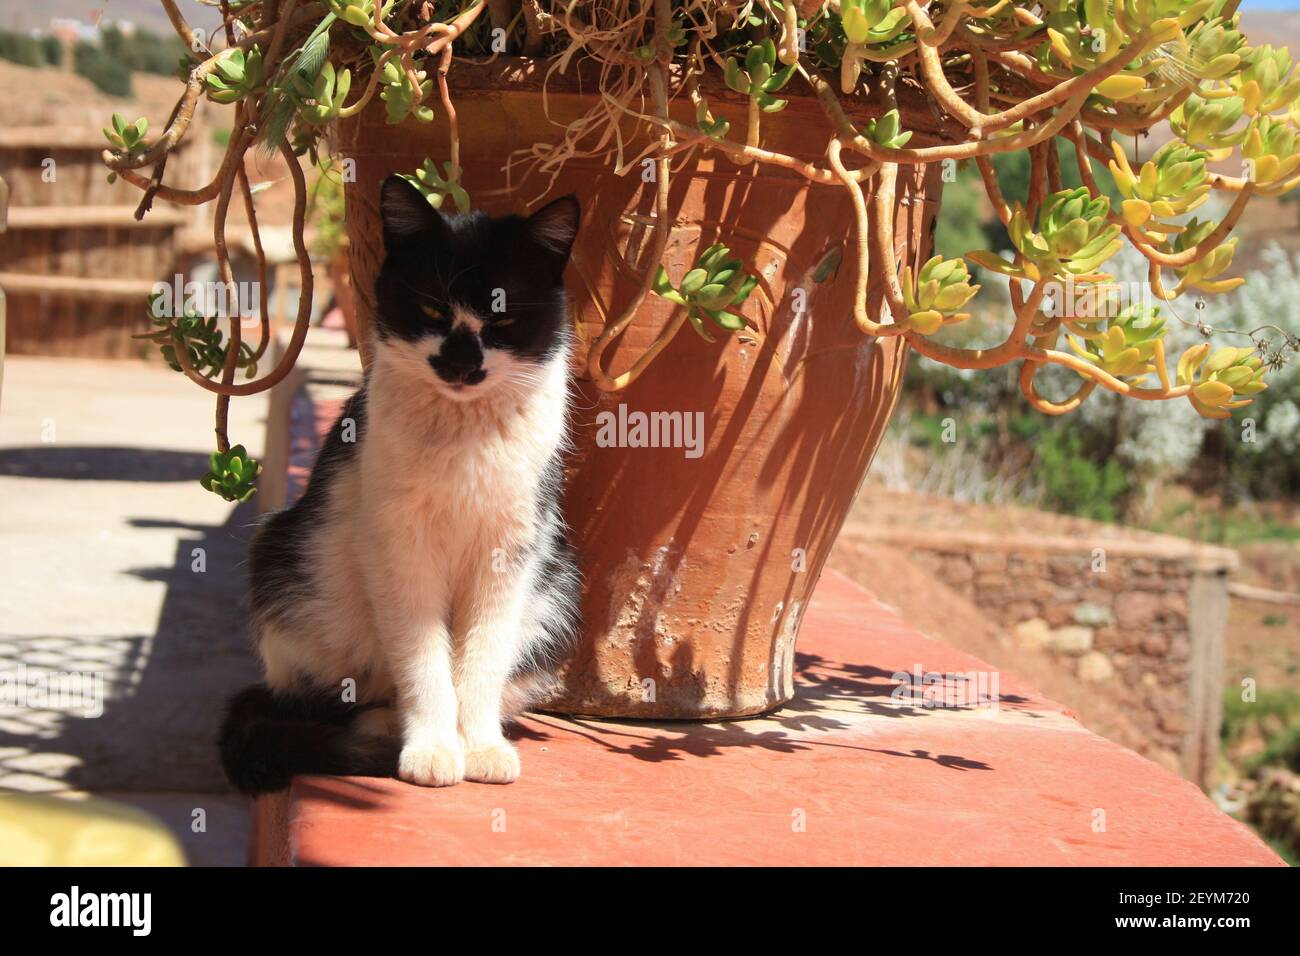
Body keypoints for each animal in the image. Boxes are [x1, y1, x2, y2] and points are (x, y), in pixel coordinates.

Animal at [219, 175, 585, 796]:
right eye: (432, 308)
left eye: (503, 320)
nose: (461, 364)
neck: (464, 434)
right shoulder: (398, 545)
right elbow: (423, 659)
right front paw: (433, 748)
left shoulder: (511, 549)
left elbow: (482, 658)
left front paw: (480, 746)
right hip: (284, 564)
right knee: (334, 702)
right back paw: (384, 727)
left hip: (558, 585)